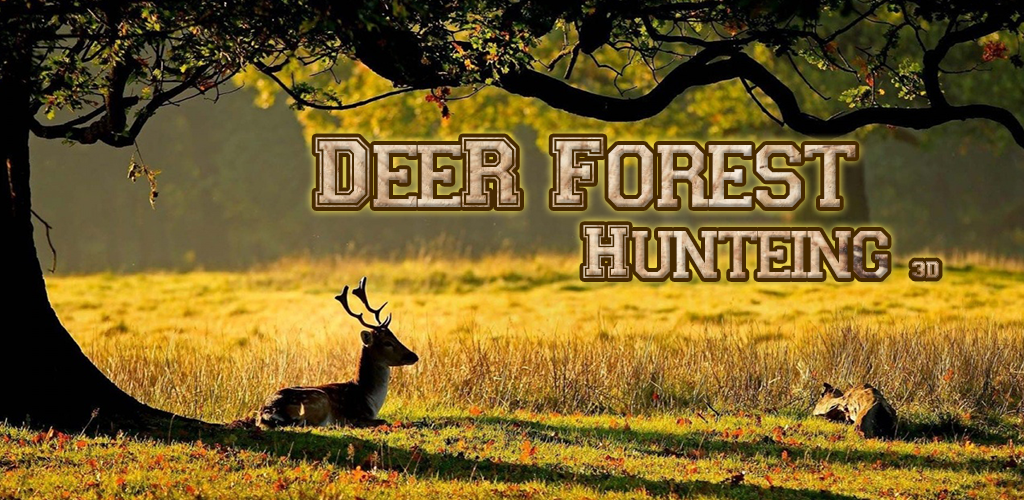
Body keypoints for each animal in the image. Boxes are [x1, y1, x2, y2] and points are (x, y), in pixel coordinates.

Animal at [255, 277, 418, 429]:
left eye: (394, 336)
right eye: (387, 342)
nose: (414, 356)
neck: (368, 398)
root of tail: (266, 412)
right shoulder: (355, 416)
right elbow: (383, 420)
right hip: (319, 399)